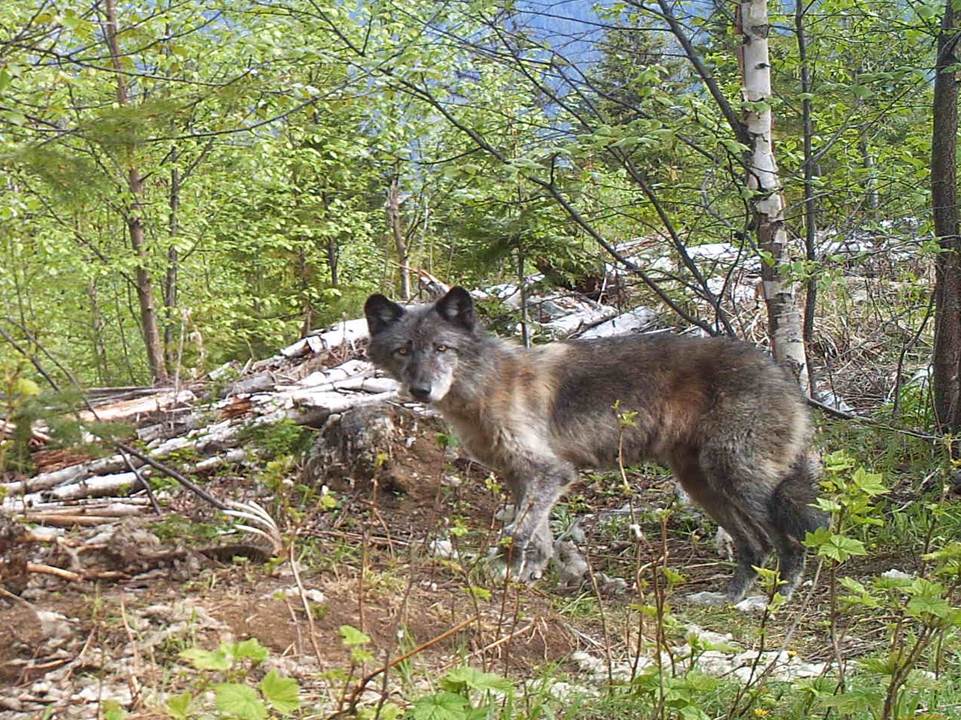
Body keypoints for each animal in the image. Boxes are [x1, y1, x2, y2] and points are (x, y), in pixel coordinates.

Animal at [364, 287, 826, 603]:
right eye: (403, 350)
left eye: (442, 348)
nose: (421, 390)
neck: (488, 386)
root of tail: (787, 379)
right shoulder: (524, 476)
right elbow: (538, 537)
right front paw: (524, 577)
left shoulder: (551, 473)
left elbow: (517, 532)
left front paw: (500, 574)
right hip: (703, 485)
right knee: (754, 546)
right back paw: (727, 600)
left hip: (737, 479)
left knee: (786, 540)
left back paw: (774, 601)